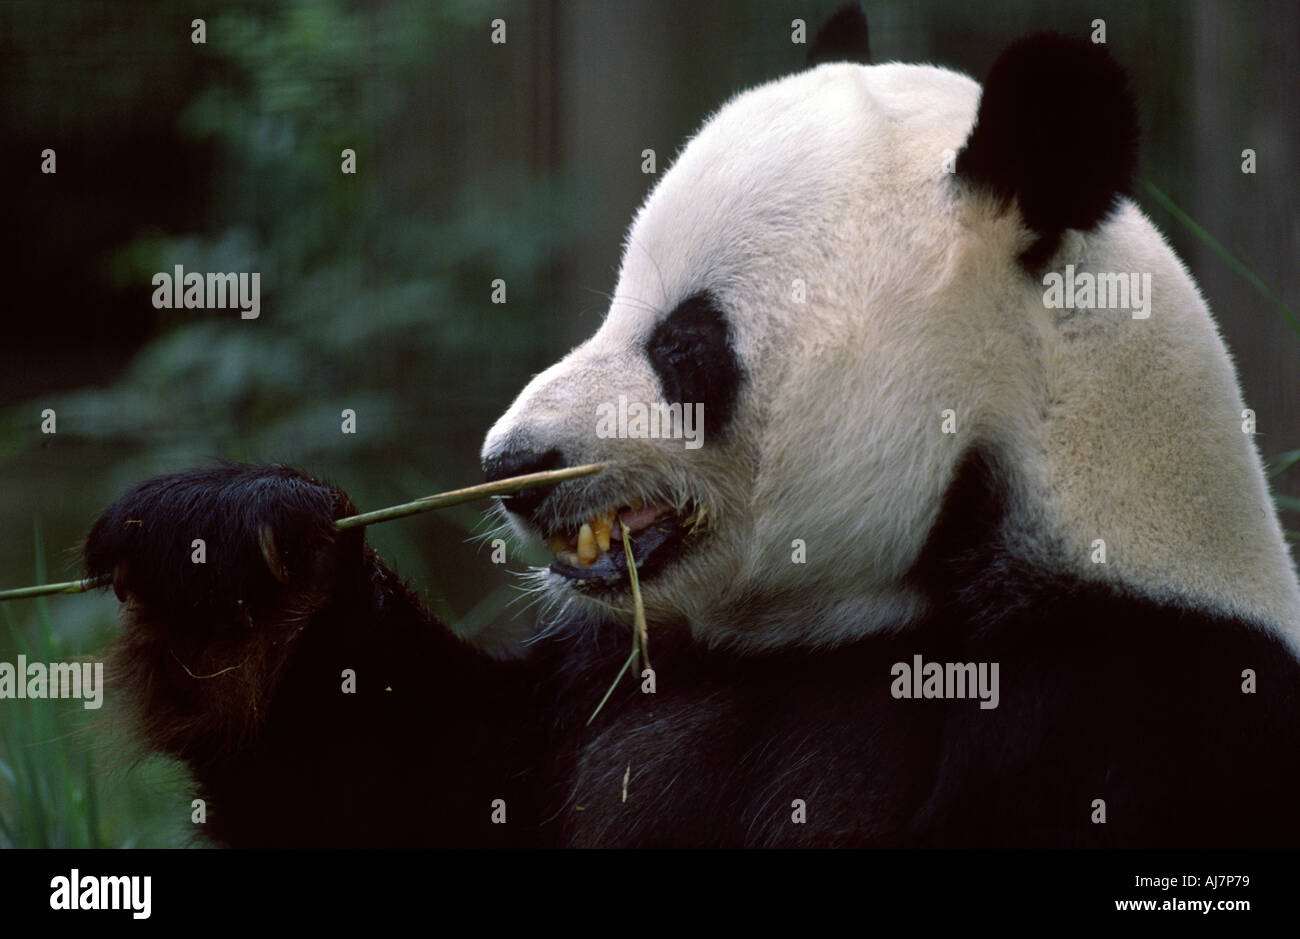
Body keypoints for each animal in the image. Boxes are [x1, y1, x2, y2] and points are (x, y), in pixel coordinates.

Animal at [86, 7, 1300, 848]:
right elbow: (399, 782)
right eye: (613, 304)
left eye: (684, 346)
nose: (512, 464)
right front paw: (225, 552)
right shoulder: (608, 698)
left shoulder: (1123, 720)